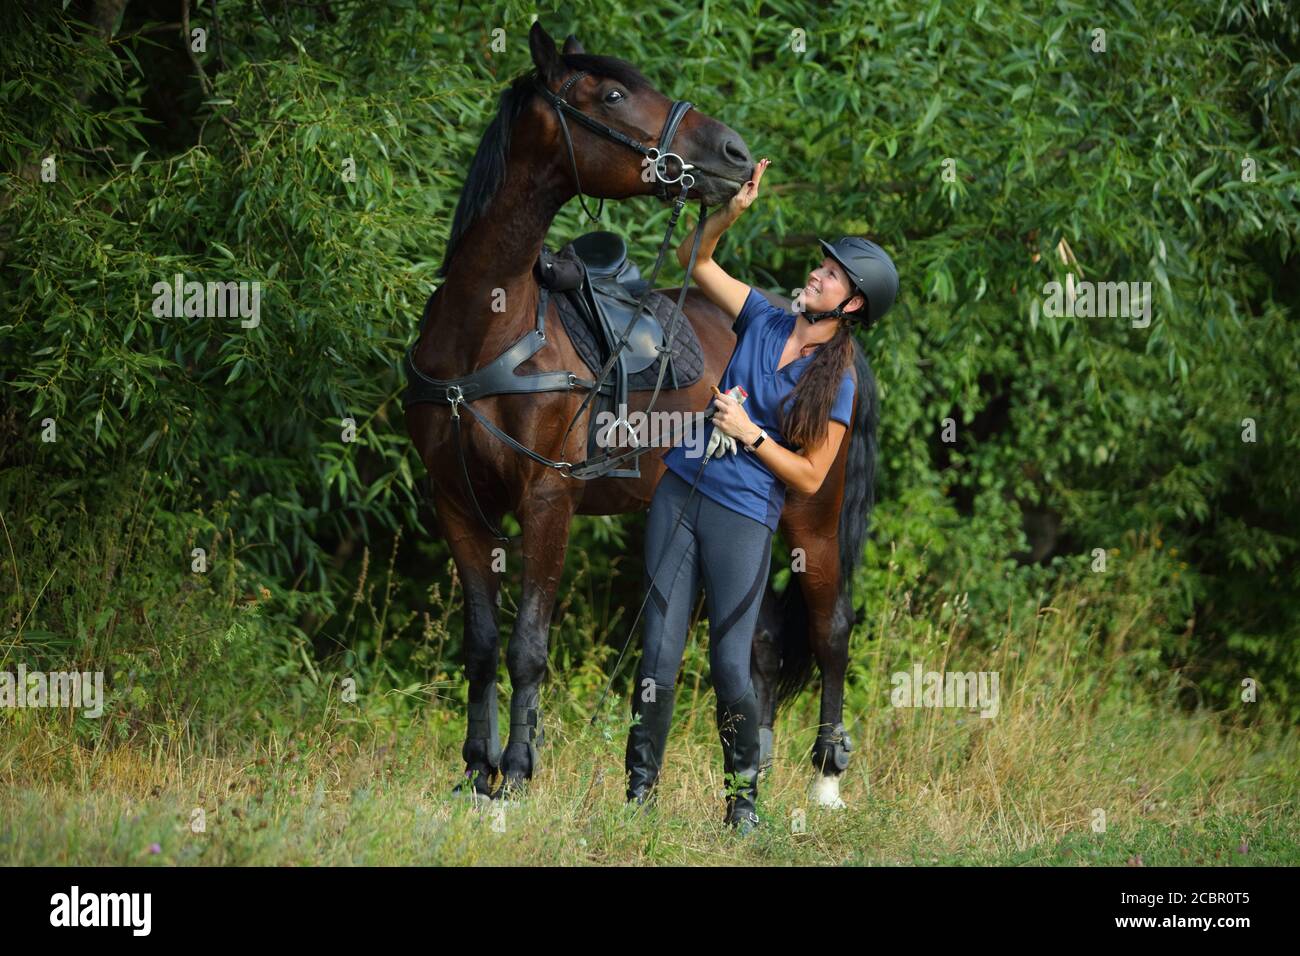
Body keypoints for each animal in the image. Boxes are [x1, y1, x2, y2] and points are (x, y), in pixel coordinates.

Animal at [403, 22, 878, 809]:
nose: (734, 155)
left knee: (831, 629)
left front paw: (517, 776)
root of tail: (833, 345)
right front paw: (475, 773)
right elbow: (481, 645)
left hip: (814, 514)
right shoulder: (457, 506)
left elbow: (528, 646)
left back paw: (826, 785)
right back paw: (754, 773)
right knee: (757, 645)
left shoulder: (548, 498)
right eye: (615, 95)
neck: (488, 329)